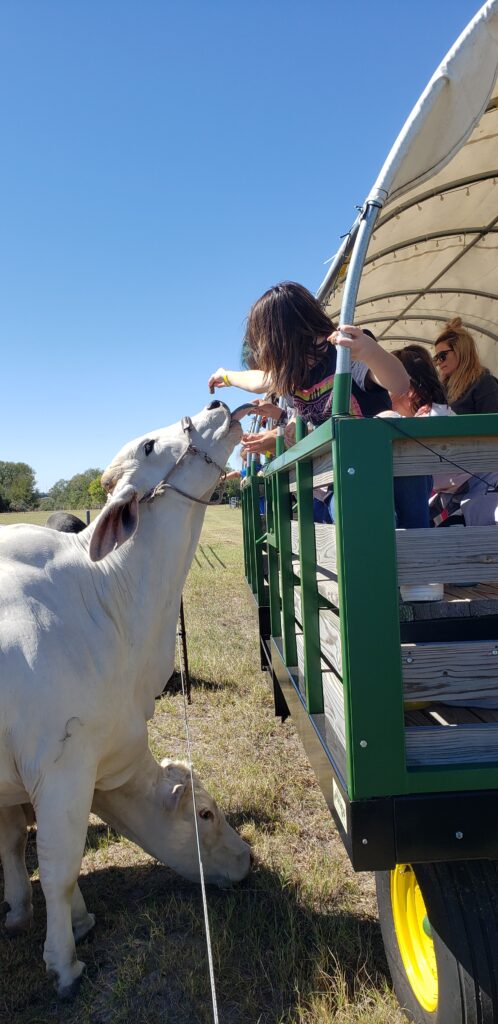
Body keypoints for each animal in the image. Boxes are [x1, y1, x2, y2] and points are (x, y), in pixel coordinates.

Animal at [0, 400, 250, 997]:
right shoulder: (63, 767)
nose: (247, 860)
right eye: (205, 814)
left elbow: (17, 845)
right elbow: (59, 866)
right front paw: (64, 961)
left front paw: (39, 914)